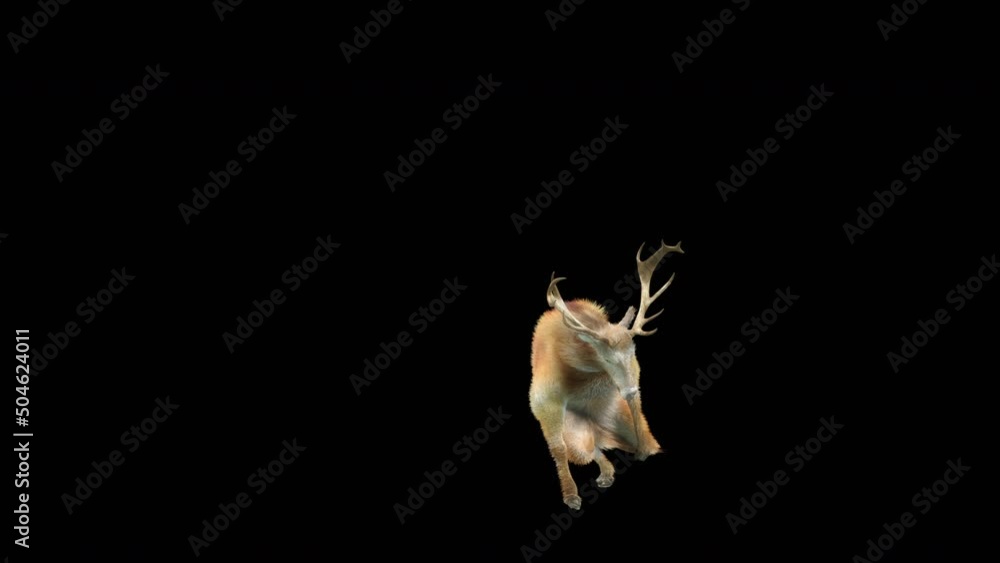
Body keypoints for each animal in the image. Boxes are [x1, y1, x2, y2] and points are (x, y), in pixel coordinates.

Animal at [529, 240, 683, 510]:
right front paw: (571, 496)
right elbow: (558, 448)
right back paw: (606, 473)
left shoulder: (632, 375)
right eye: (608, 359)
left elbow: (637, 406)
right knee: (587, 449)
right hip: (579, 439)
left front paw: (642, 449)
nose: (629, 390)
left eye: (634, 352)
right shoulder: (544, 400)